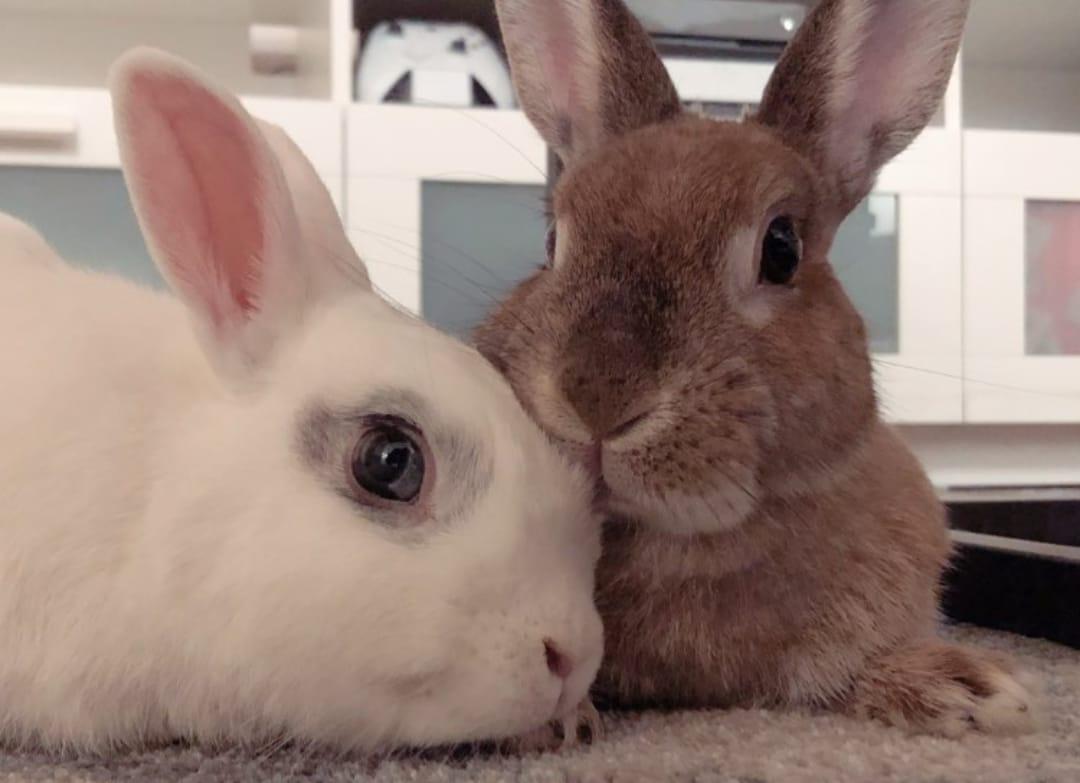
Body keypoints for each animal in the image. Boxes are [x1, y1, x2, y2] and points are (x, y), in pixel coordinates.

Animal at [475, 0, 1039, 741]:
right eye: (552, 242)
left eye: (781, 248)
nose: (596, 397)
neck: (677, 542)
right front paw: (551, 718)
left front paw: (969, 689)